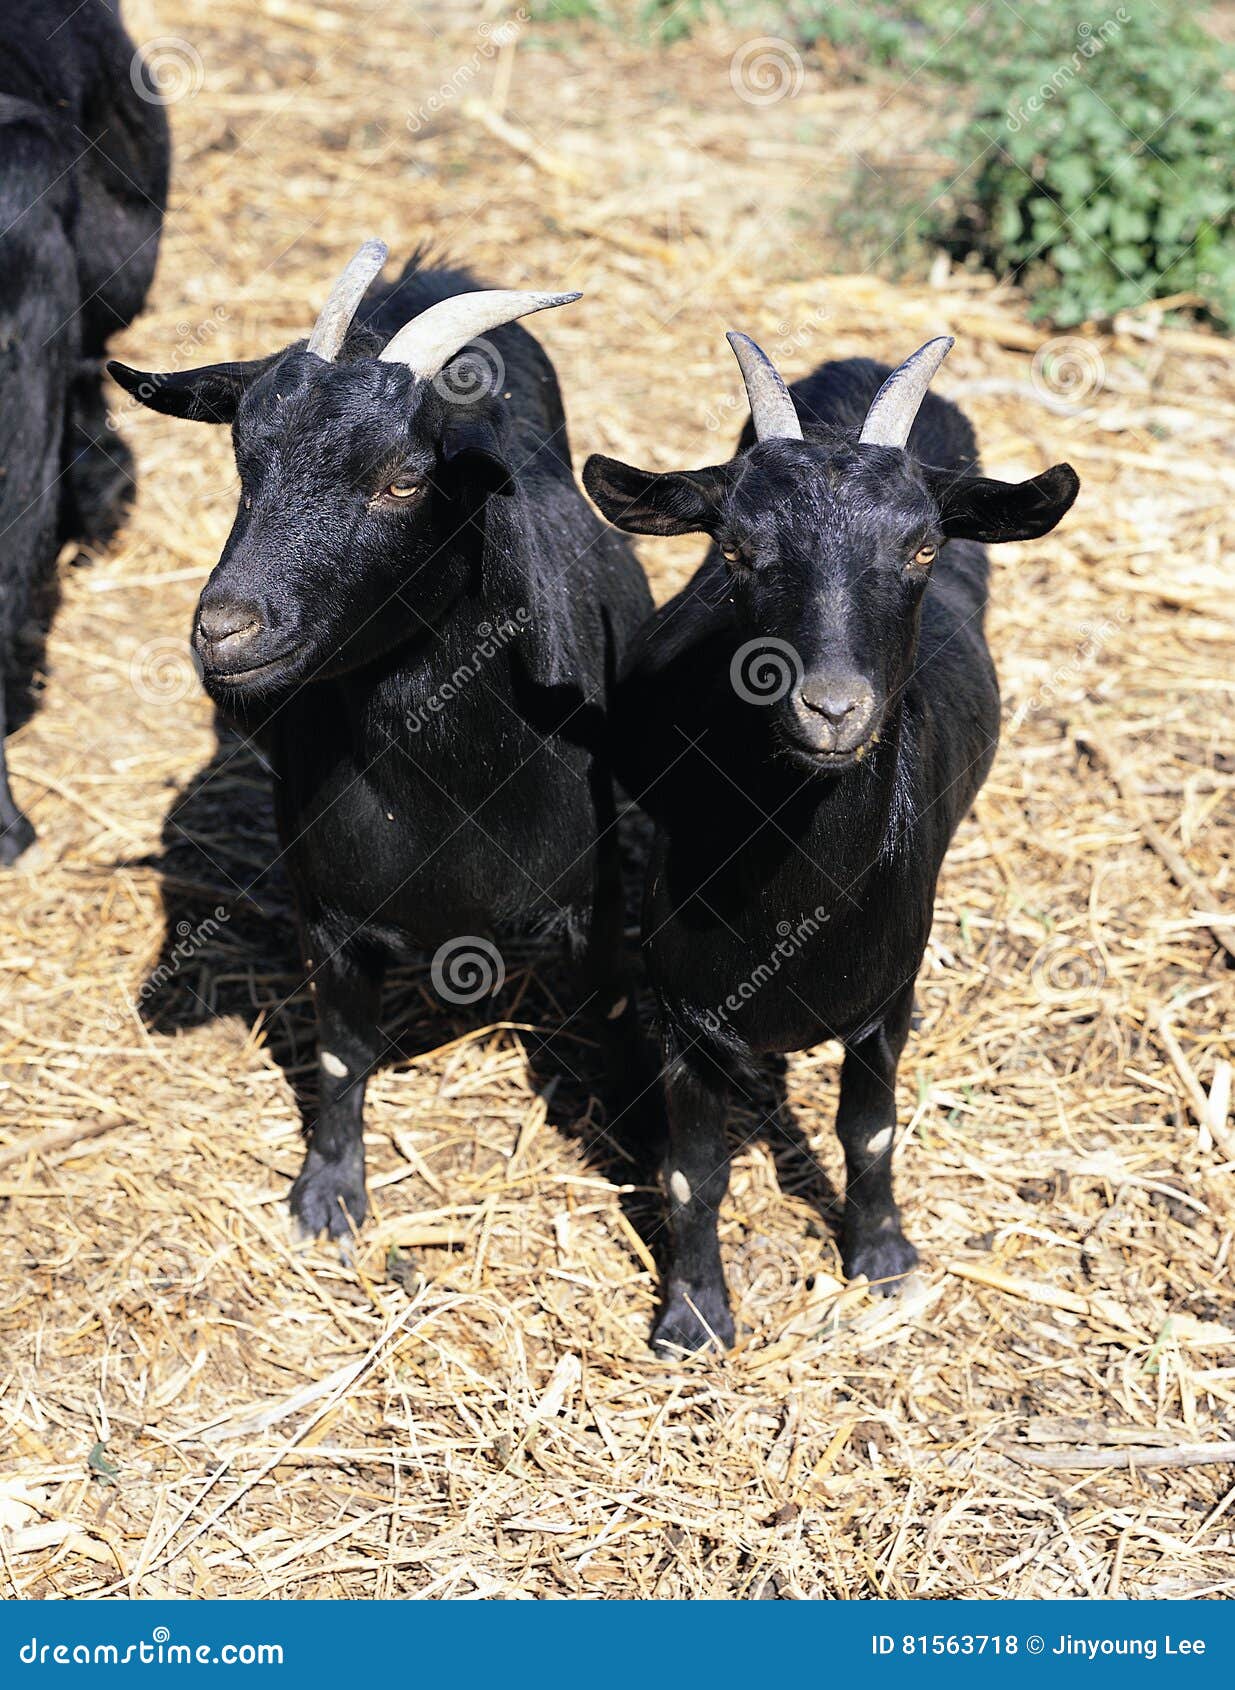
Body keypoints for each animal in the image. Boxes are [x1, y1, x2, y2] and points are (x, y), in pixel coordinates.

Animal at [110, 240, 654, 1241]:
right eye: (244, 460)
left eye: (405, 479)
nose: (225, 631)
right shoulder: (327, 911)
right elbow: (341, 1049)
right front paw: (328, 1194)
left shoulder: (591, 906)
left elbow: (605, 1015)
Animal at [584, 331, 1078, 1352]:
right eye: (733, 548)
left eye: (923, 545)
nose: (831, 708)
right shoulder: (682, 1010)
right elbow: (693, 1171)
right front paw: (693, 1315)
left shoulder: (886, 999)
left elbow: (870, 1132)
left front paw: (884, 1260)